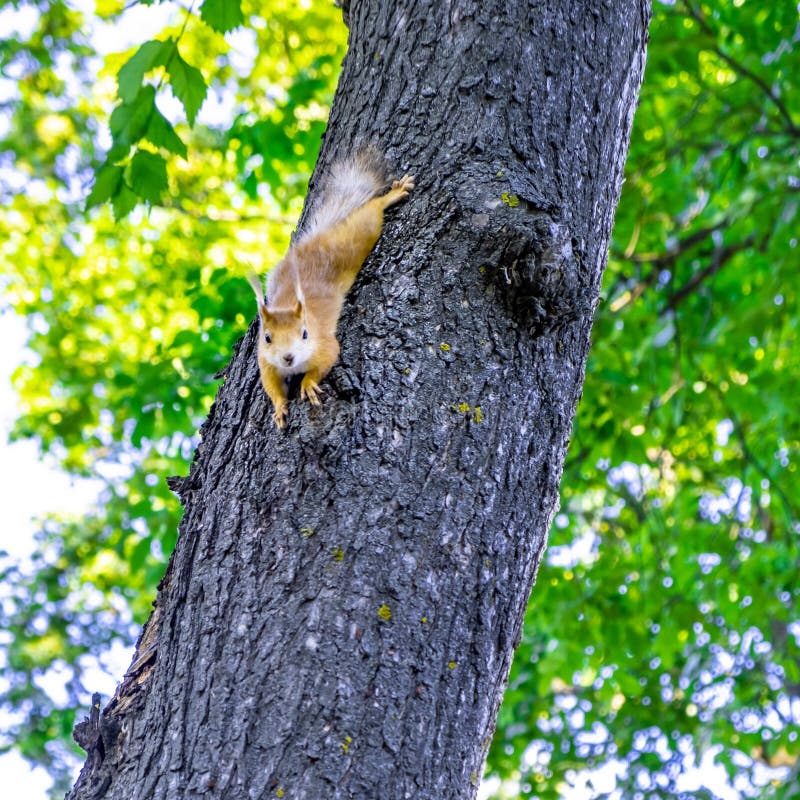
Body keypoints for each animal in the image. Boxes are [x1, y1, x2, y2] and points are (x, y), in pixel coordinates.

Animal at [248, 152, 415, 428]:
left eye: (305, 333)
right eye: (267, 337)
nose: (288, 357)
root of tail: (316, 242)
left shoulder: (323, 344)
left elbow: (326, 361)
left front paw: (308, 384)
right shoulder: (265, 361)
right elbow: (271, 386)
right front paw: (280, 407)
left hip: (357, 238)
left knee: (371, 213)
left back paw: (394, 194)